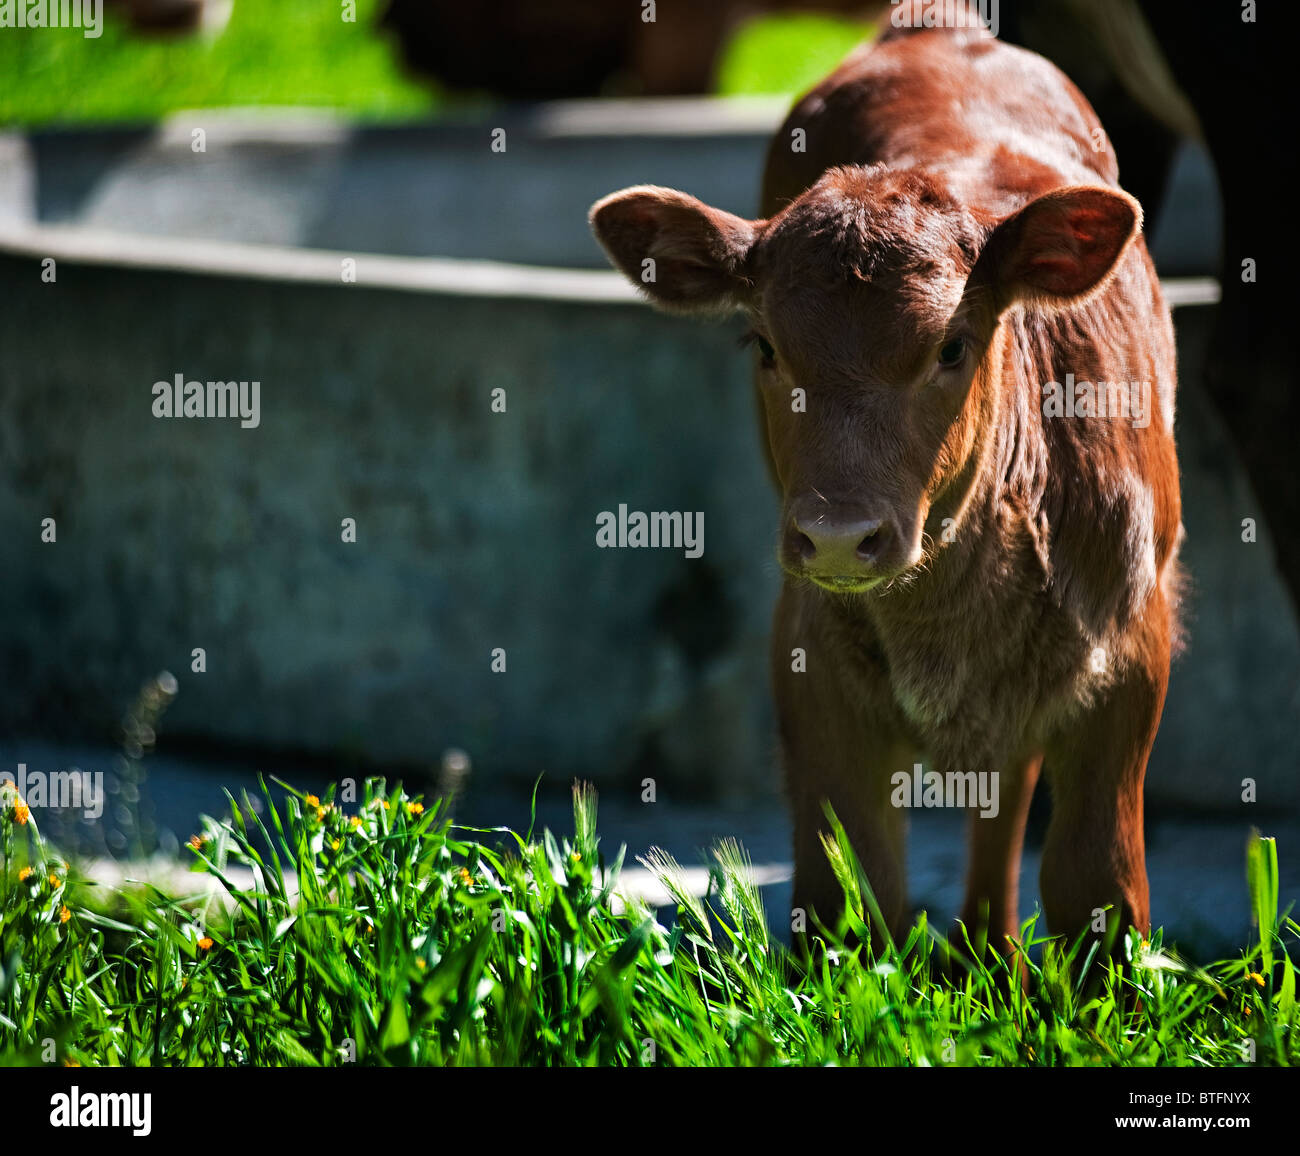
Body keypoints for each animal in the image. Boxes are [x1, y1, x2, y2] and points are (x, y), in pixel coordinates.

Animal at [589, 5, 1181, 960]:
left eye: (952, 346)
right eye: (765, 346)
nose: (837, 536)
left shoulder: (1130, 645)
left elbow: (1095, 882)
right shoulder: (810, 660)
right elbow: (849, 891)